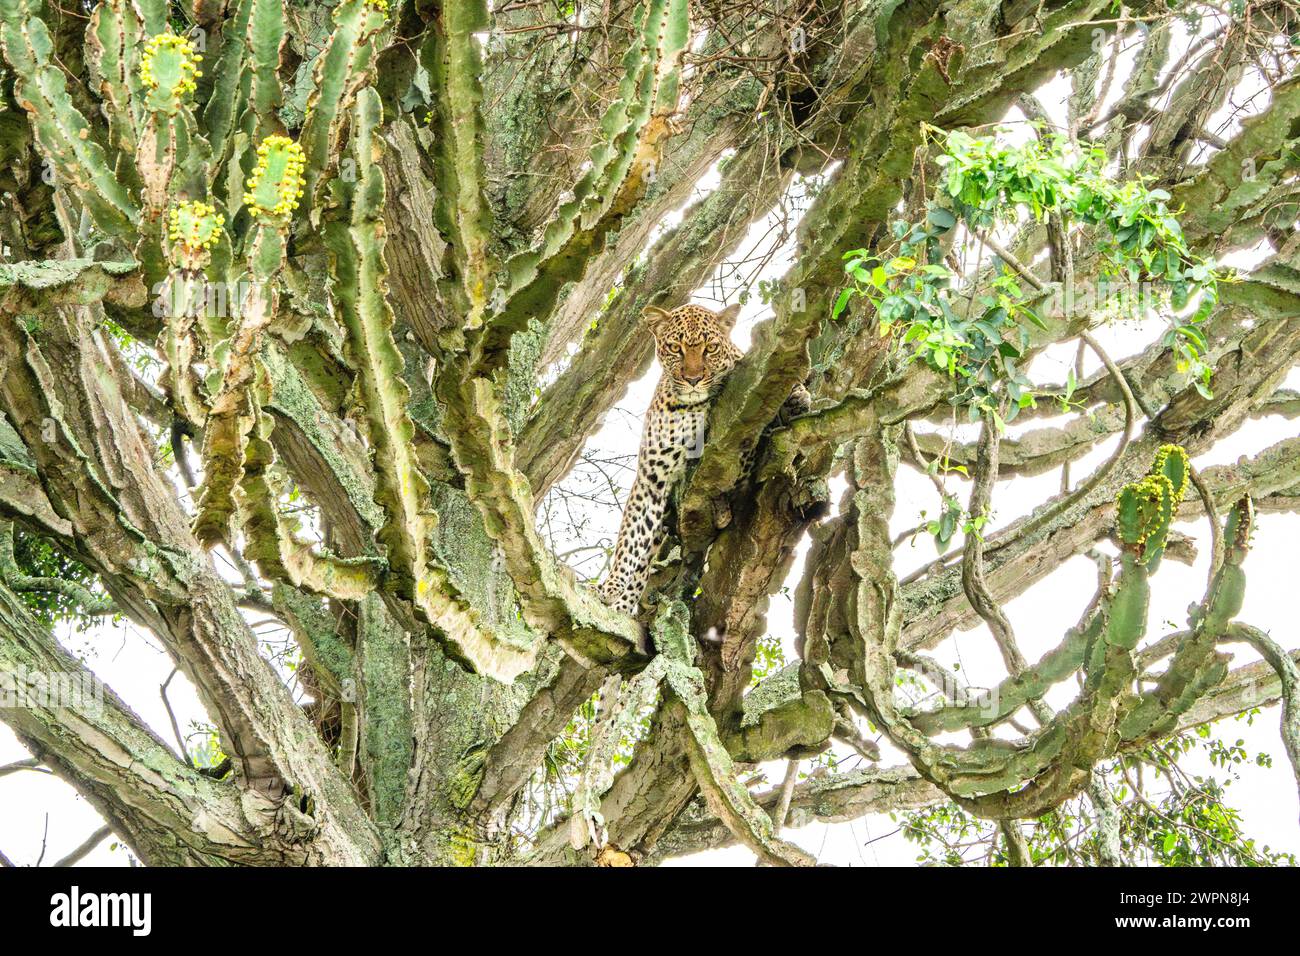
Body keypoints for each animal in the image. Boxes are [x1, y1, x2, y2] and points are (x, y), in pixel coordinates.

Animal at [599, 302, 809, 617]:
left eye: (710, 348)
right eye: (675, 348)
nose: (693, 380)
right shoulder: (651, 478)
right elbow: (632, 535)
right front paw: (613, 585)